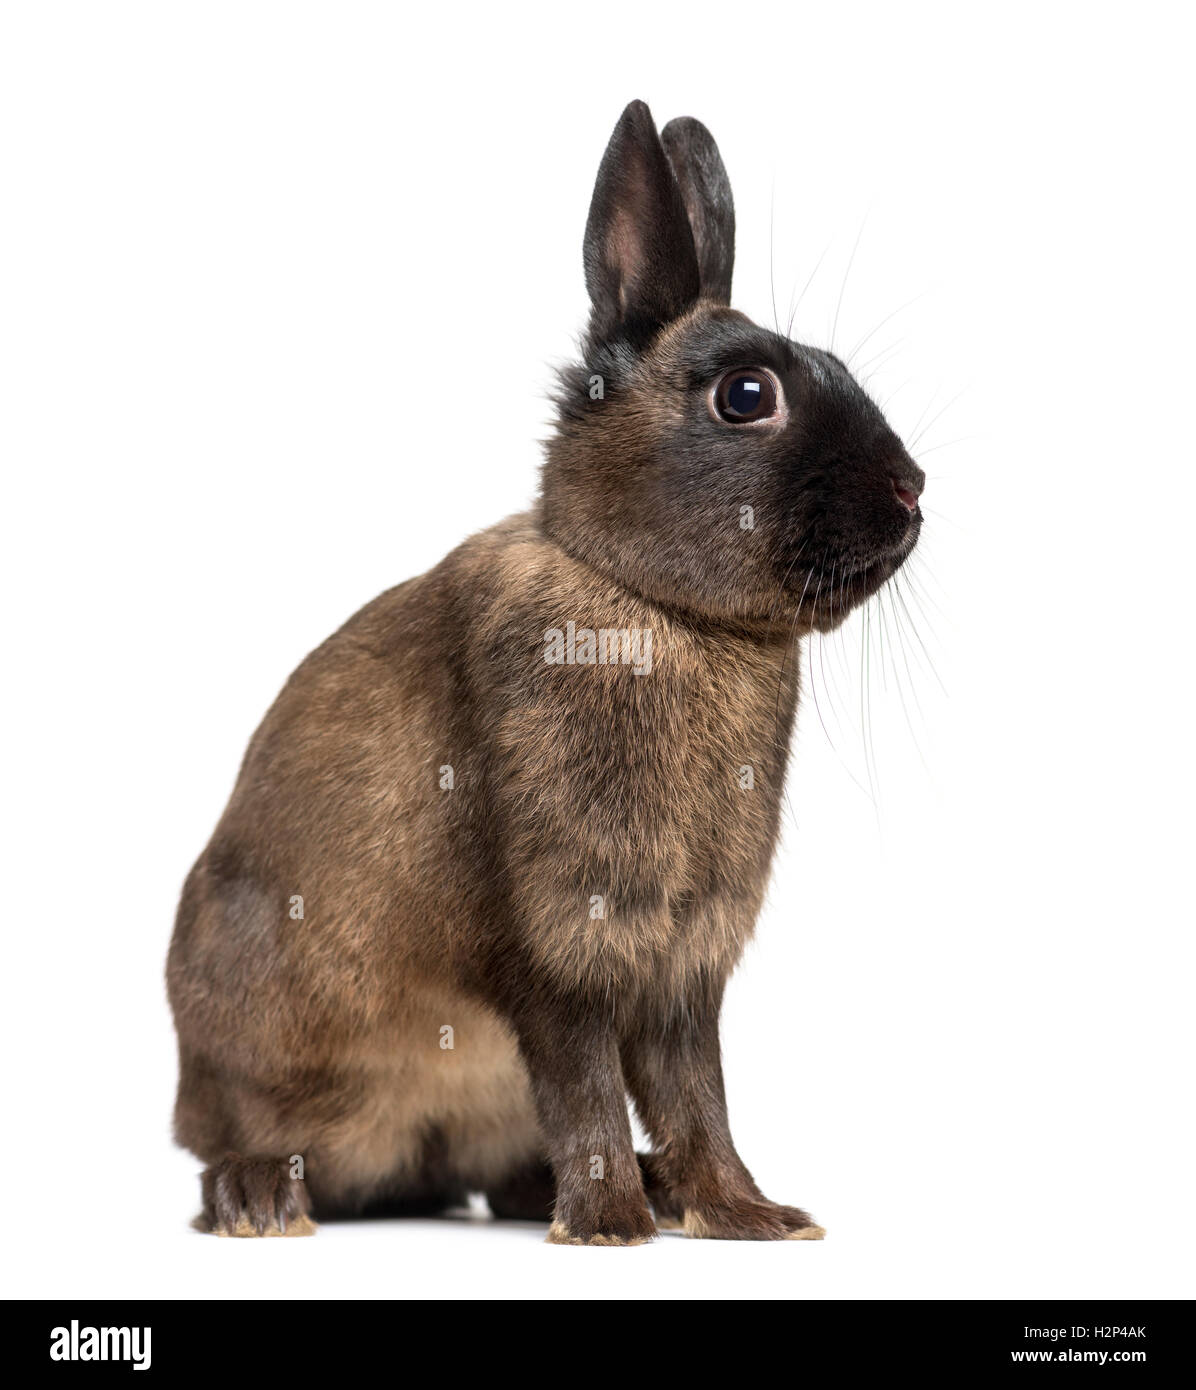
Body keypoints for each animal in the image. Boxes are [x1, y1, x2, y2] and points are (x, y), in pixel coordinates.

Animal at [167, 98, 925, 1245]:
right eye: (747, 395)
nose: (912, 489)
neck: (651, 603)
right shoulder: (557, 941)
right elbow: (586, 1081)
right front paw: (611, 1226)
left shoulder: (681, 967)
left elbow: (694, 1090)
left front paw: (743, 1213)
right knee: (230, 1139)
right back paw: (258, 1197)